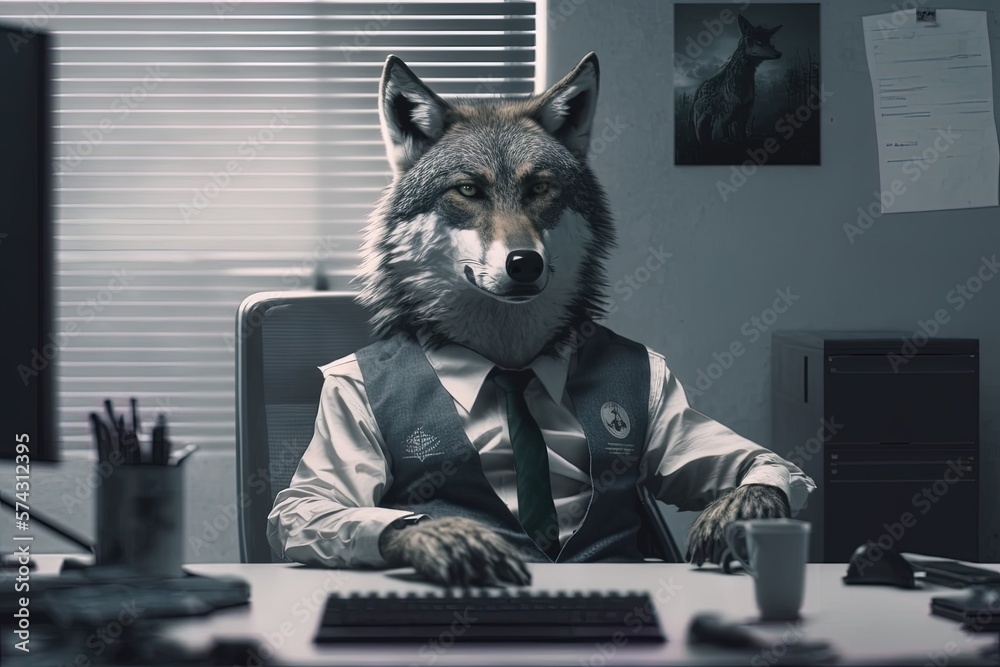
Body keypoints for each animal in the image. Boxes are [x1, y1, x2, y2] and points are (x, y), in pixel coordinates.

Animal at [308, 53, 799, 586]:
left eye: (539, 188)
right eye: (468, 190)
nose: (525, 263)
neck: (507, 364)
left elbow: (760, 461)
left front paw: (737, 509)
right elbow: (324, 503)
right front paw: (444, 538)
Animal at [692, 15, 782, 145]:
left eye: (770, 43)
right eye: (759, 42)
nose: (779, 54)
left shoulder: (746, 112)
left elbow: (742, 137)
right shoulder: (723, 118)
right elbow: (720, 138)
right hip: (704, 123)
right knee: (706, 140)